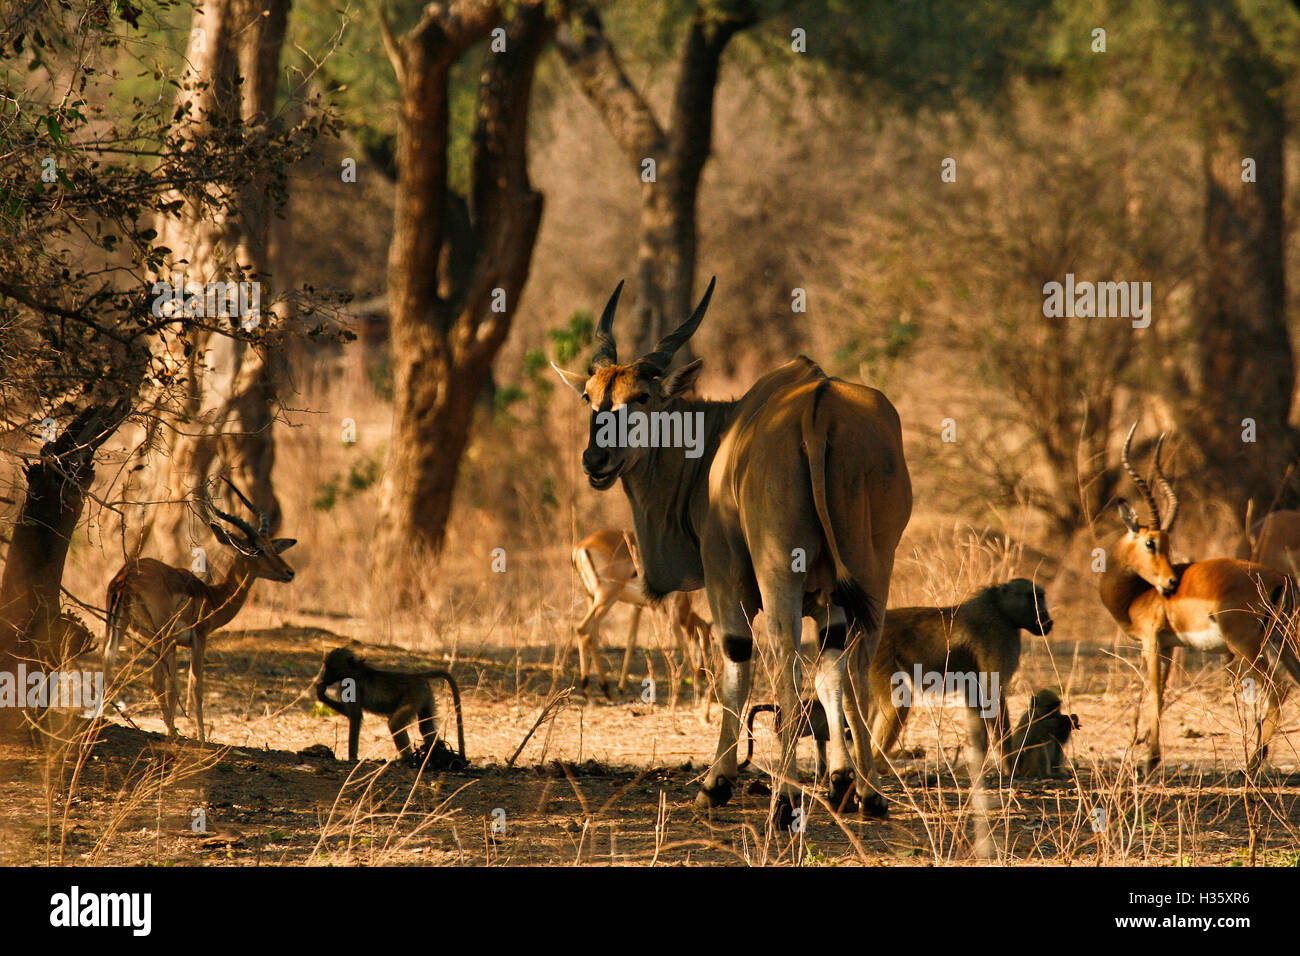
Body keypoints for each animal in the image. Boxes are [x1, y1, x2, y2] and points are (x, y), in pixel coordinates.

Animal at [102, 479, 296, 742]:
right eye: (258, 550)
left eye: (272, 547)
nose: (289, 572)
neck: (212, 596)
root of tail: (125, 577)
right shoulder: (199, 639)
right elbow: (195, 687)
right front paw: (201, 736)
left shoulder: (173, 643)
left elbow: (178, 686)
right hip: (163, 637)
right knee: (156, 681)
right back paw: (171, 733)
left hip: (122, 629)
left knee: (108, 665)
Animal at [571, 528, 713, 698]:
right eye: (705, 640)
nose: (703, 673)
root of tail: (581, 547)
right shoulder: (672, 610)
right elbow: (682, 645)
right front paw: (697, 689)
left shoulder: (636, 606)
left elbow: (631, 641)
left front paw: (622, 687)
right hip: (606, 598)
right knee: (583, 630)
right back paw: (589, 690)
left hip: (591, 598)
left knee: (593, 635)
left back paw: (606, 690)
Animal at [1099, 423, 1300, 773]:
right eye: (1153, 543)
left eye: (1162, 543)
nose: (1171, 583)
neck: (1137, 594)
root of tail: (1281, 579)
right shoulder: (1168, 646)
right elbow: (1161, 693)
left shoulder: (1152, 641)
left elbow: (1154, 692)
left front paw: (1150, 760)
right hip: (1282, 641)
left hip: (1248, 647)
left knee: (1279, 688)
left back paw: (1252, 763)